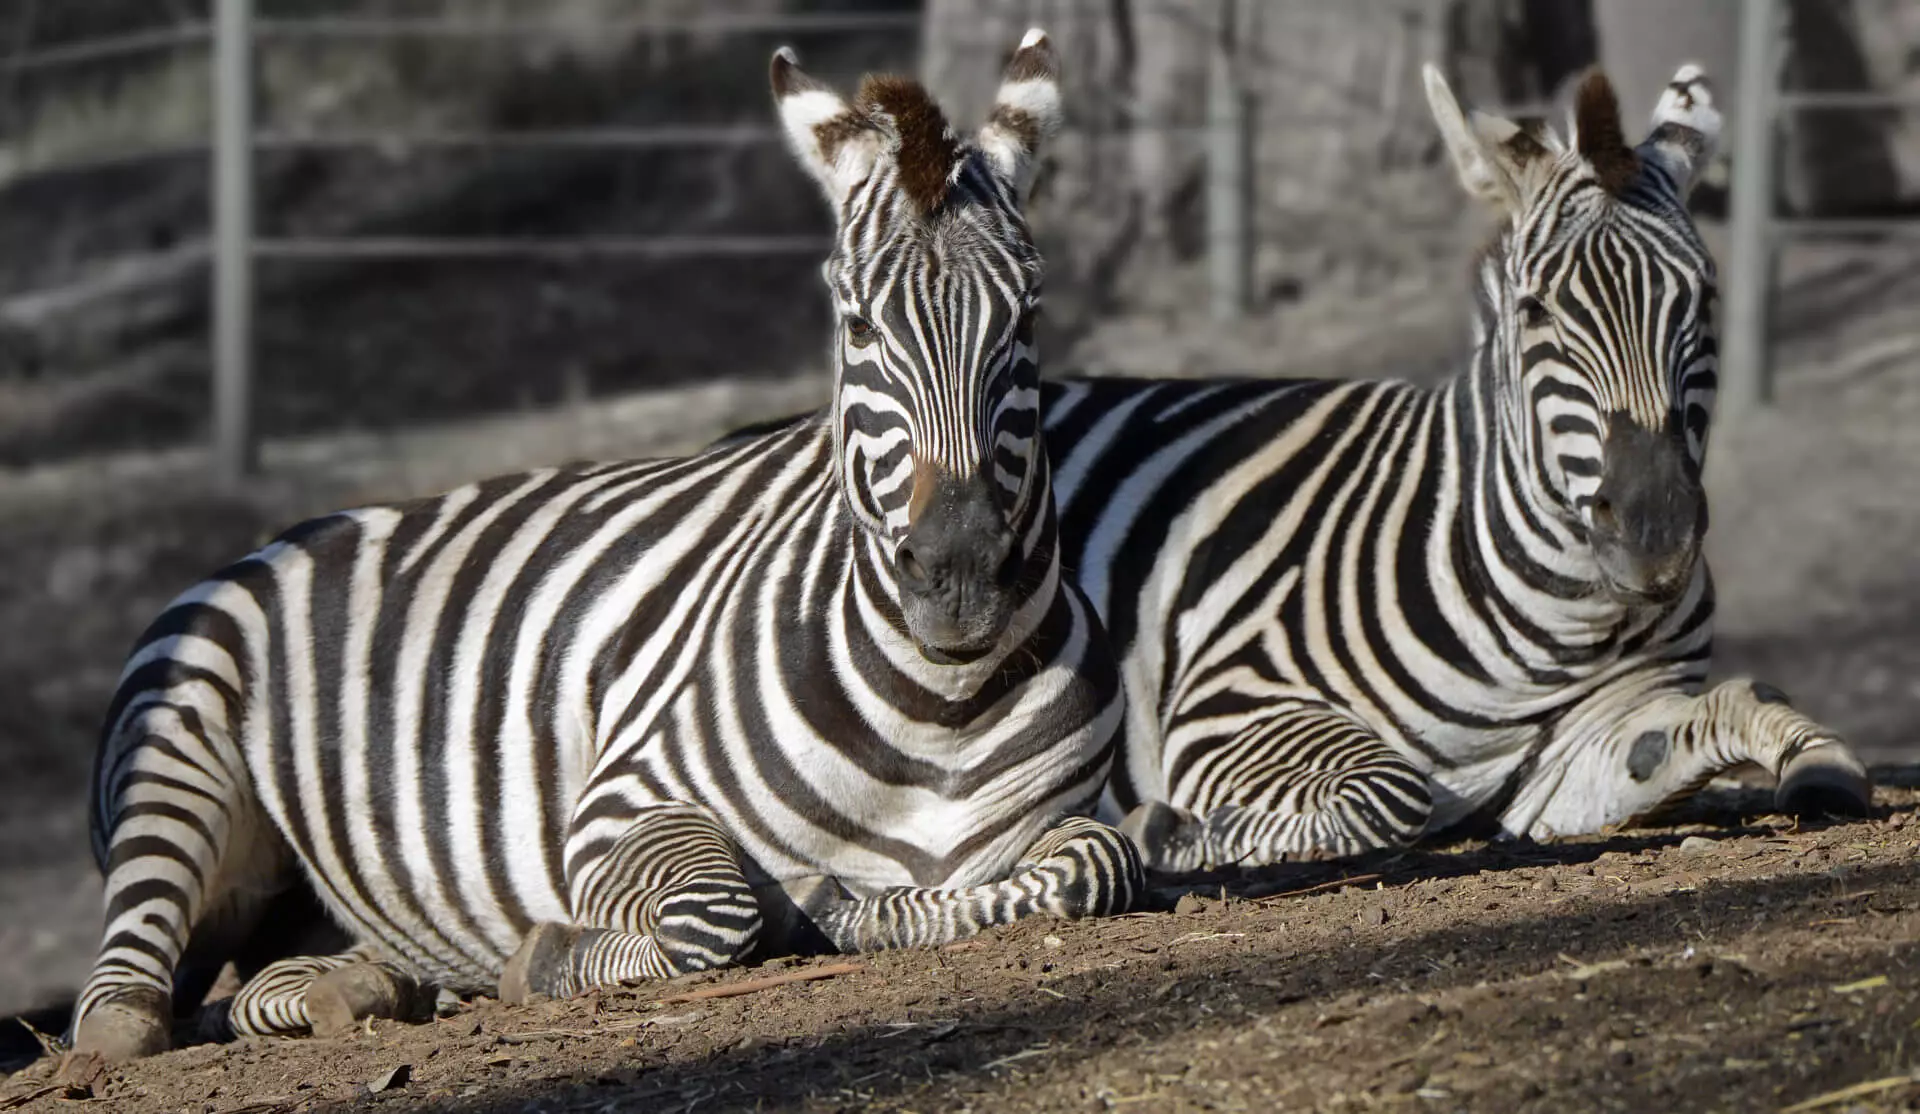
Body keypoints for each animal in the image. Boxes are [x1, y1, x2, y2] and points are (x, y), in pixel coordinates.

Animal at [67, 30, 1136, 1067]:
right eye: (858, 324)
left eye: (1028, 317)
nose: (957, 574)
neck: (937, 713)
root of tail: (281, 538)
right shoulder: (619, 807)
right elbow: (719, 914)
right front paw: (547, 960)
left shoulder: (1075, 819)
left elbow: (1098, 867)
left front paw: (851, 911)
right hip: (179, 768)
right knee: (121, 1010)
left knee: (264, 981)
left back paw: (370, 986)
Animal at [1036, 65, 1873, 875]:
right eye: (1535, 311)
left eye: (1704, 299)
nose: (1656, 537)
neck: (1559, 621)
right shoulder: (1231, 697)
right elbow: (1389, 791)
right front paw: (1175, 834)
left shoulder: (1581, 752)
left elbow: (1746, 696)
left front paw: (1817, 763)